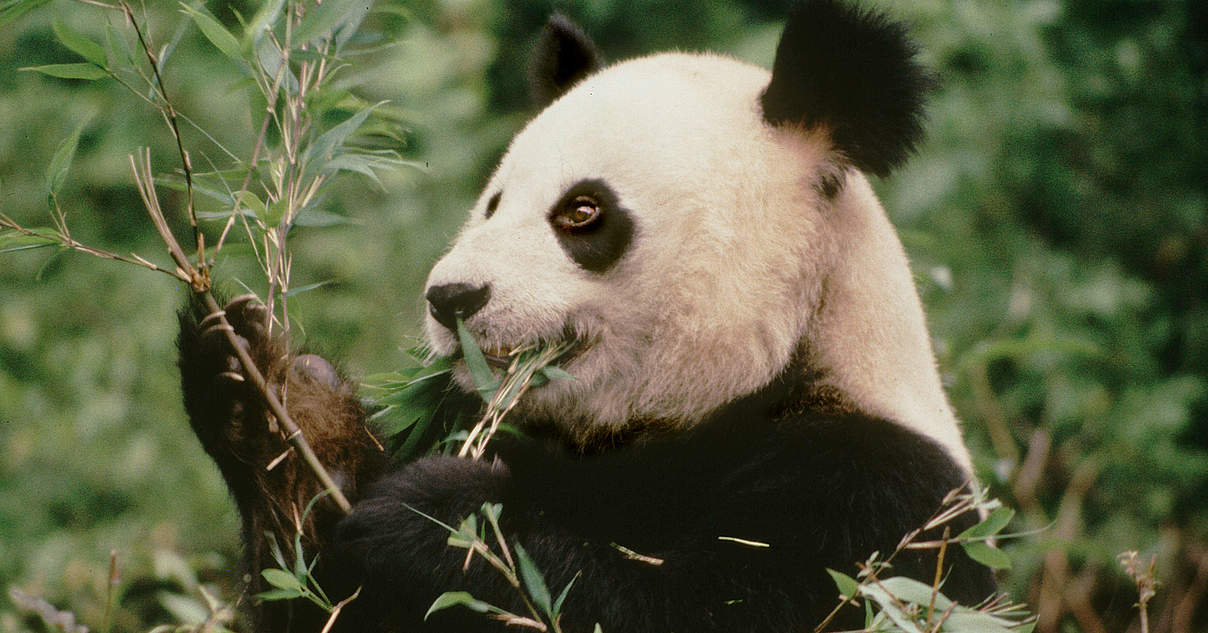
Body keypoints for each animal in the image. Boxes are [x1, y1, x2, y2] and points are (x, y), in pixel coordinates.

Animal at [178, 1, 997, 631]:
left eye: (581, 211)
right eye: (494, 202)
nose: (451, 297)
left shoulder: (870, 500)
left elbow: (679, 604)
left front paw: (444, 517)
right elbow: (327, 596)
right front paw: (274, 398)